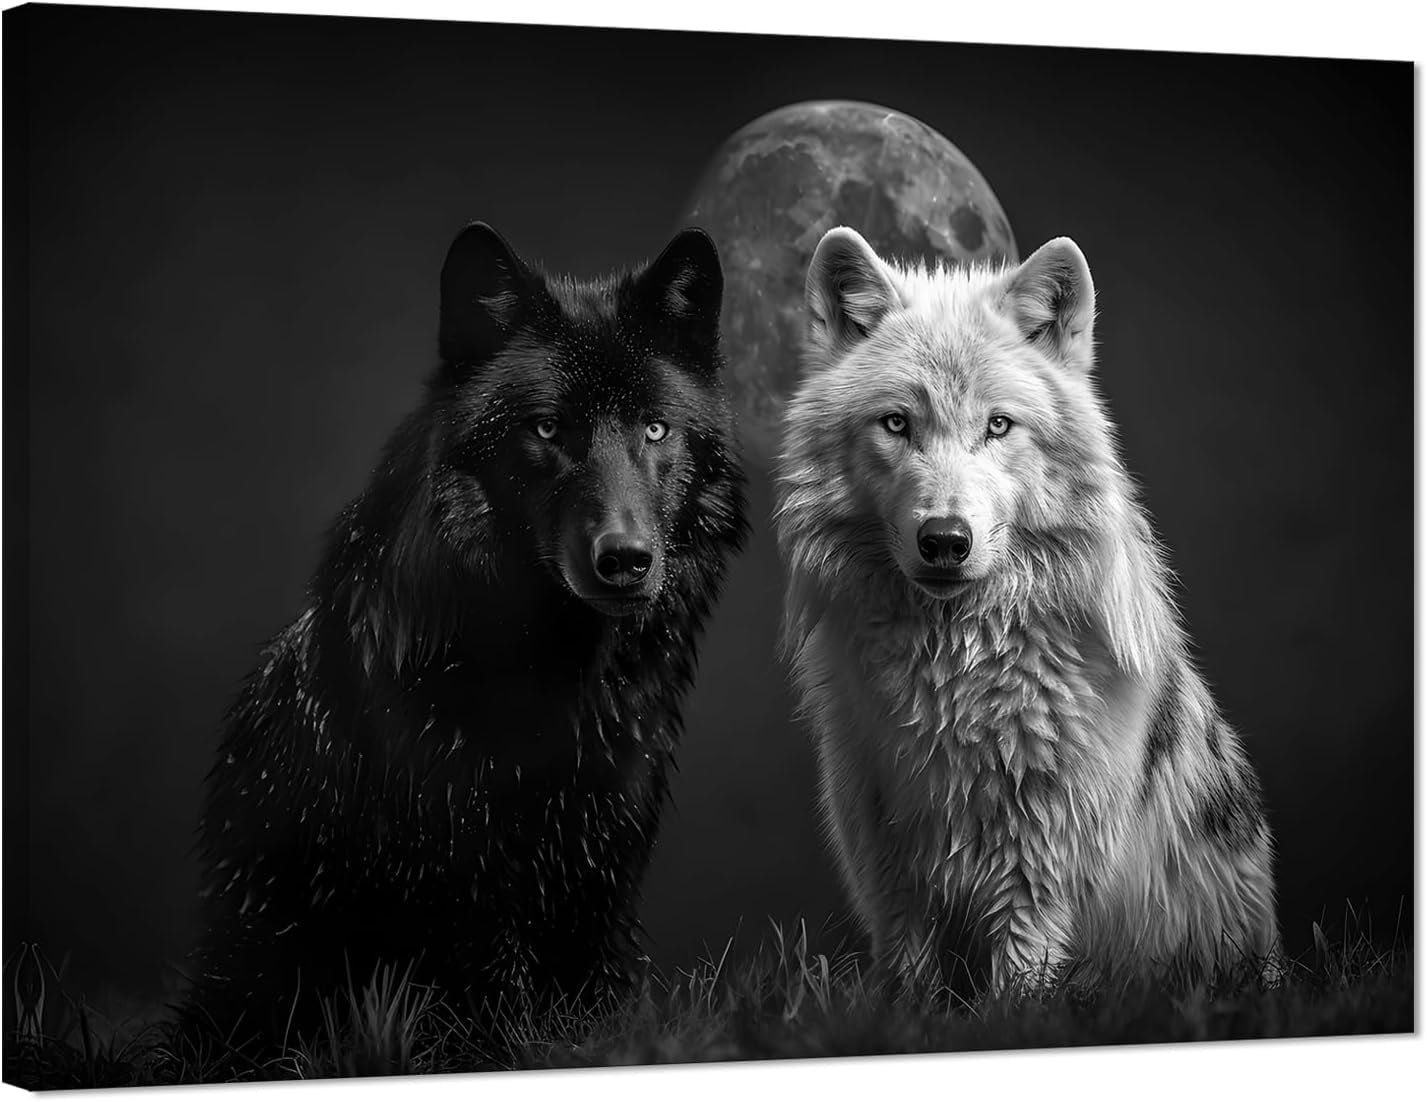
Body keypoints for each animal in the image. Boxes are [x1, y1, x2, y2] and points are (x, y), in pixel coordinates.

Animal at [187, 222, 747, 1048]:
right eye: (547, 428)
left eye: (655, 428)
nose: (626, 559)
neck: (558, 676)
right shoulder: (461, 865)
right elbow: (496, 1009)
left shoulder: (607, 849)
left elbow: (592, 998)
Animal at [774, 226, 1277, 994]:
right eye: (897, 424)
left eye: (998, 426)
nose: (944, 539)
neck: (955, 675)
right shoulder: (888, 861)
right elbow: (910, 983)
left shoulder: (1038, 866)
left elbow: (1019, 982)